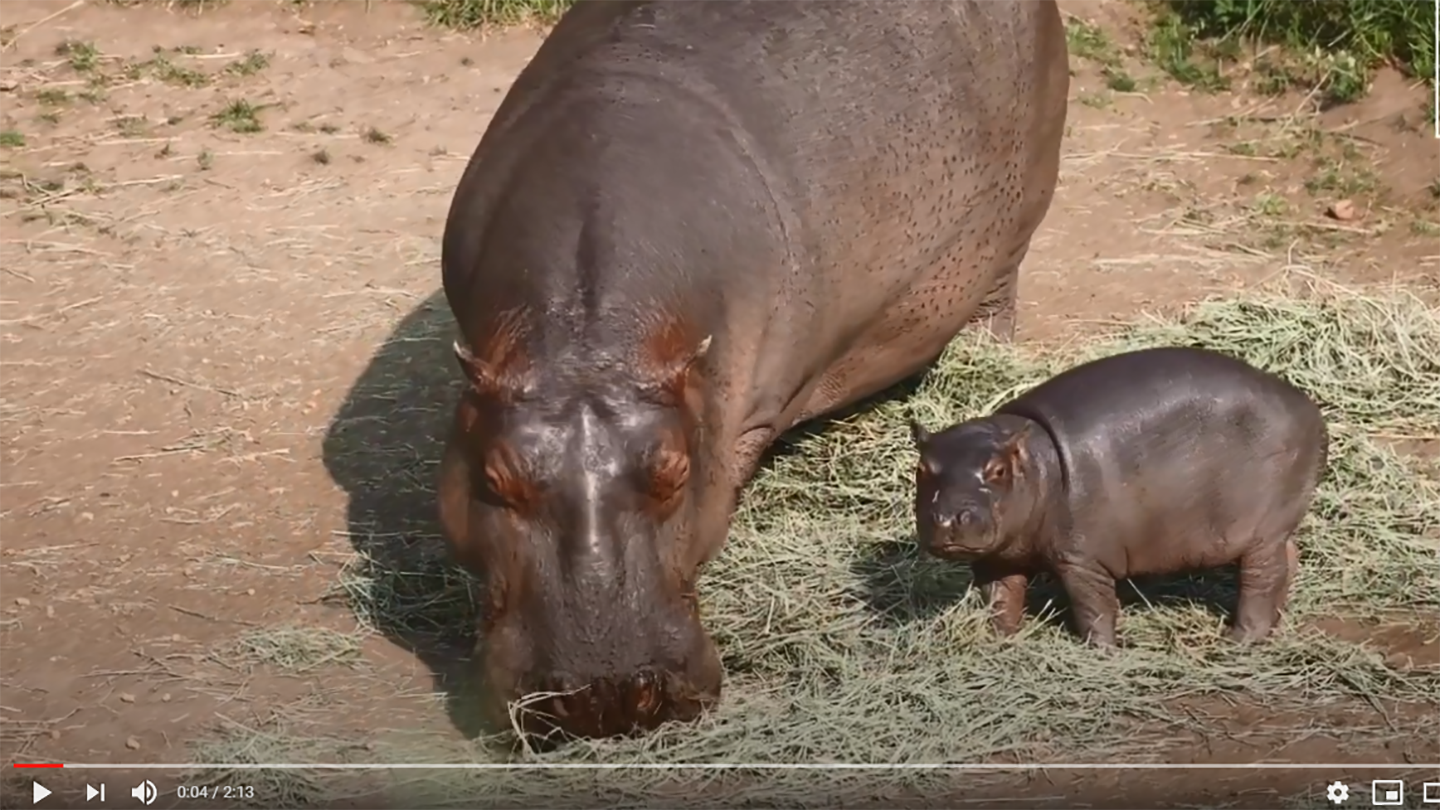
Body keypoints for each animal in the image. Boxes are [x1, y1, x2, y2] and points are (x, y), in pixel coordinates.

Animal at [437, 0, 1069, 739]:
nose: (606, 696)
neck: (587, 346)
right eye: (492, 477)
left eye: (678, 471)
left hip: (1011, 234)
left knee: (995, 304)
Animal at [909, 346, 1328, 648]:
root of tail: (1308, 405)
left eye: (997, 470)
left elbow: (1093, 607)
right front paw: (998, 644)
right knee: (1289, 560)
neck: (1035, 463)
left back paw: (1237, 641)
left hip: (1262, 532)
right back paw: (1274, 626)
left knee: (1262, 576)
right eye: (922, 467)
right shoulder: (996, 558)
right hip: (1278, 527)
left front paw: (1102, 653)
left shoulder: (1083, 559)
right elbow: (1000, 599)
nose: (946, 518)